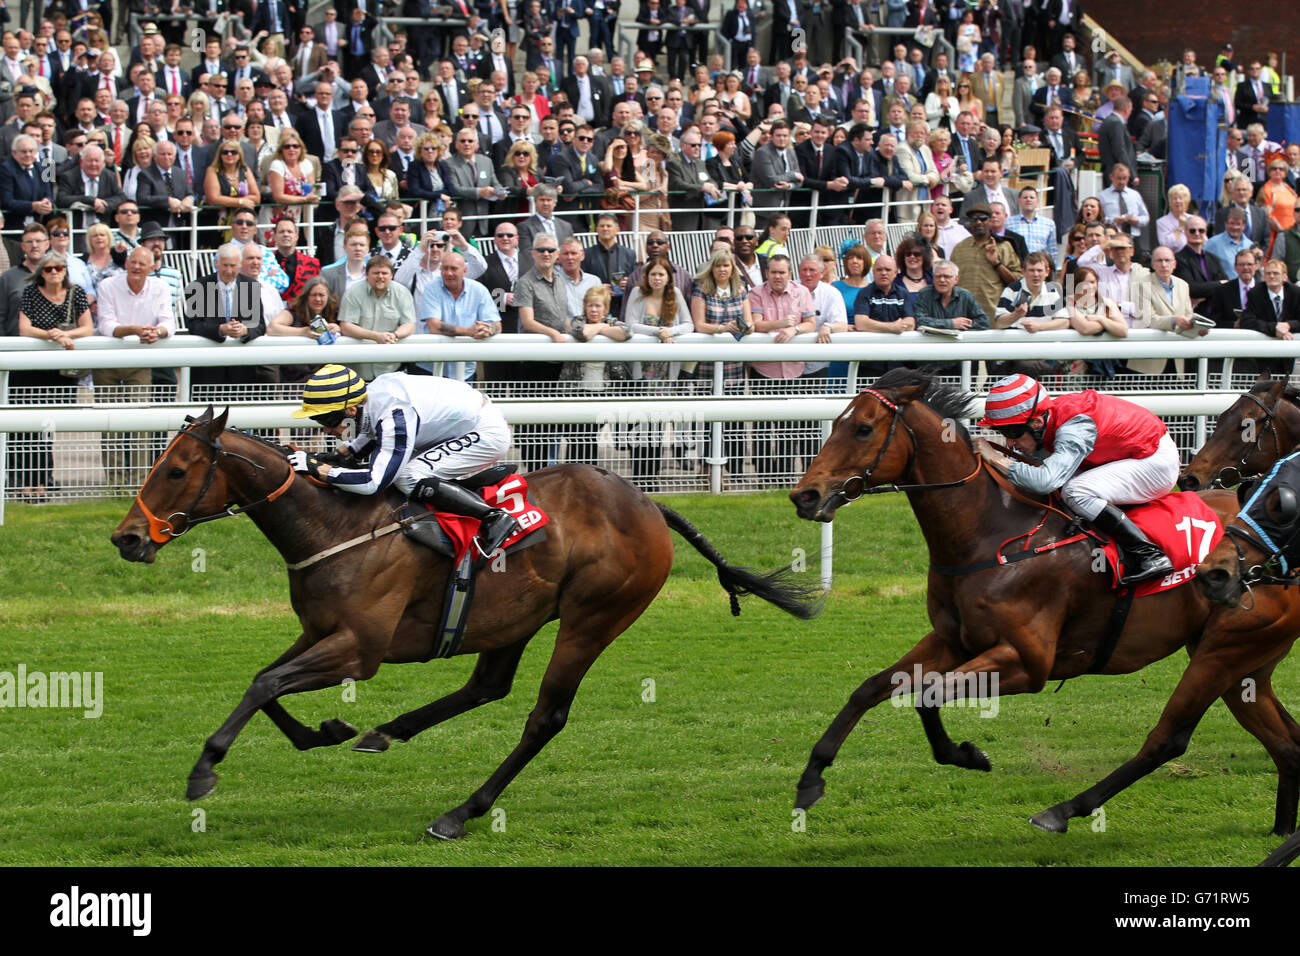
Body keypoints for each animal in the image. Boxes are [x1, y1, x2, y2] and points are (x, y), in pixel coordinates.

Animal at [110, 408, 822, 840]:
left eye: (177, 469)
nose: (126, 539)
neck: (334, 526)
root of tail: (648, 504)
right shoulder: (320, 633)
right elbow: (266, 679)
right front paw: (325, 731)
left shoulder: (359, 650)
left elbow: (264, 685)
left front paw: (204, 770)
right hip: (516, 619)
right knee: (487, 687)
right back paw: (386, 733)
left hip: (592, 619)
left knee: (544, 717)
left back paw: (460, 812)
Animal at [788, 368, 1300, 843]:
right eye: (838, 423)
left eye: (863, 429)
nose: (804, 495)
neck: (989, 532)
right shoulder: (953, 642)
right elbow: (870, 688)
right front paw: (810, 782)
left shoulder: (1027, 663)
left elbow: (928, 694)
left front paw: (967, 755)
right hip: (1242, 663)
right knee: (1286, 741)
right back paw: (1282, 830)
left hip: (1223, 651)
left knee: (1167, 739)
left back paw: (1063, 810)